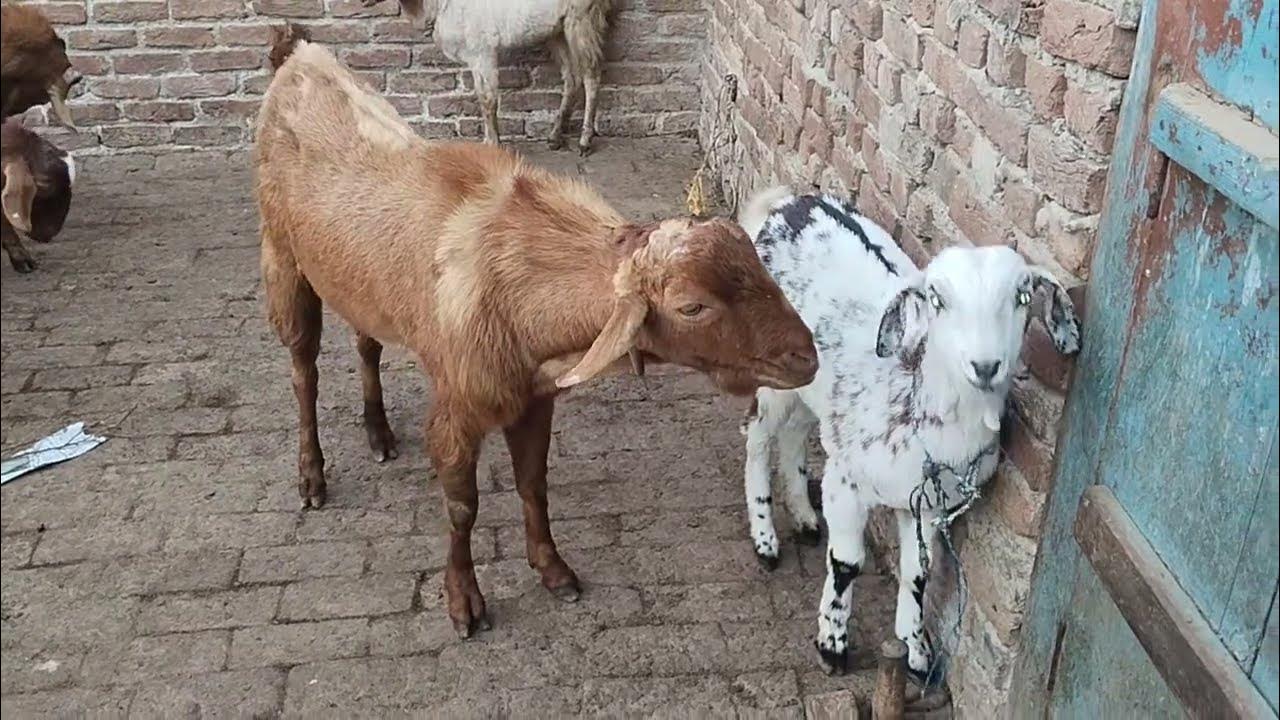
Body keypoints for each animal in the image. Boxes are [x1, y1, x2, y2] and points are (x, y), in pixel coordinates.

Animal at [255, 28, 819, 639]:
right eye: (692, 306)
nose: (806, 356)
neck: (516, 285)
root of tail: (299, 55)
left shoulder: (533, 398)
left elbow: (534, 482)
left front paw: (553, 569)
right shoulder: (459, 406)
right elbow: (462, 508)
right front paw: (464, 601)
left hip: (358, 280)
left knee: (366, 341)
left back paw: (378, 432)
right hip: (282, 256)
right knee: (303, 371)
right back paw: (312, 477)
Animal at [365, 0, 612, 154]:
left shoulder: (483, 52)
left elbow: (488, 100)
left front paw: (492, 143)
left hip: (582, 19)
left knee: (591, 76)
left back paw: (584, 141)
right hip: (558, 30)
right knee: (572, 78)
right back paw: (554, 137)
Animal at [736, 188, 1080, 679]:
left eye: (1022, 296)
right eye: (936, 299)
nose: (985, 366)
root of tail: (788, 203)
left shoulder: (931, 505)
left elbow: (918, 572)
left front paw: (916, 651)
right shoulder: (847, 482)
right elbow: (847, 564)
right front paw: (832, 644)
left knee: (796, 433)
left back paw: (803, 516)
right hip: (773, 362)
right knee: (758, 435)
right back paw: (765, 538)